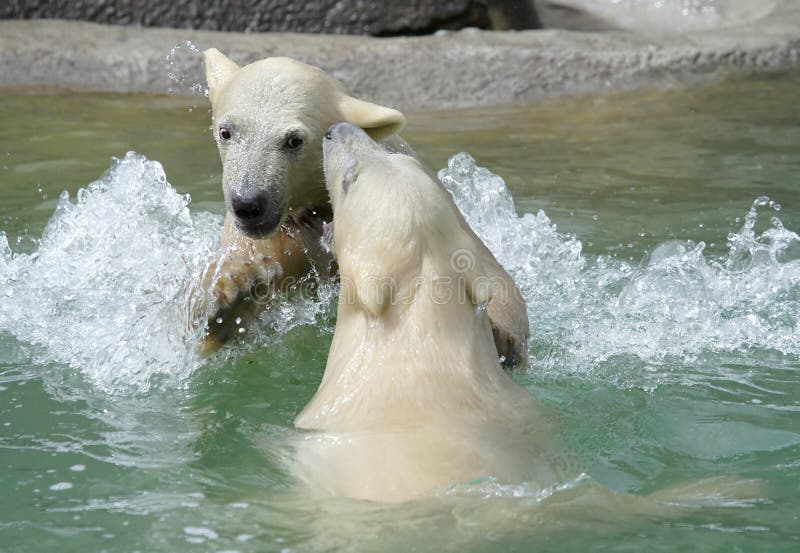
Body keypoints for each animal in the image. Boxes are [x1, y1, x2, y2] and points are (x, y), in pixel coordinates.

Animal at [198, 49, 530, 367]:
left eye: (294, 140)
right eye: (226, 131)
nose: (248, 203)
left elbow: (495, 277)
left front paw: (499, 336)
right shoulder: (275, 234)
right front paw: (234, 292)